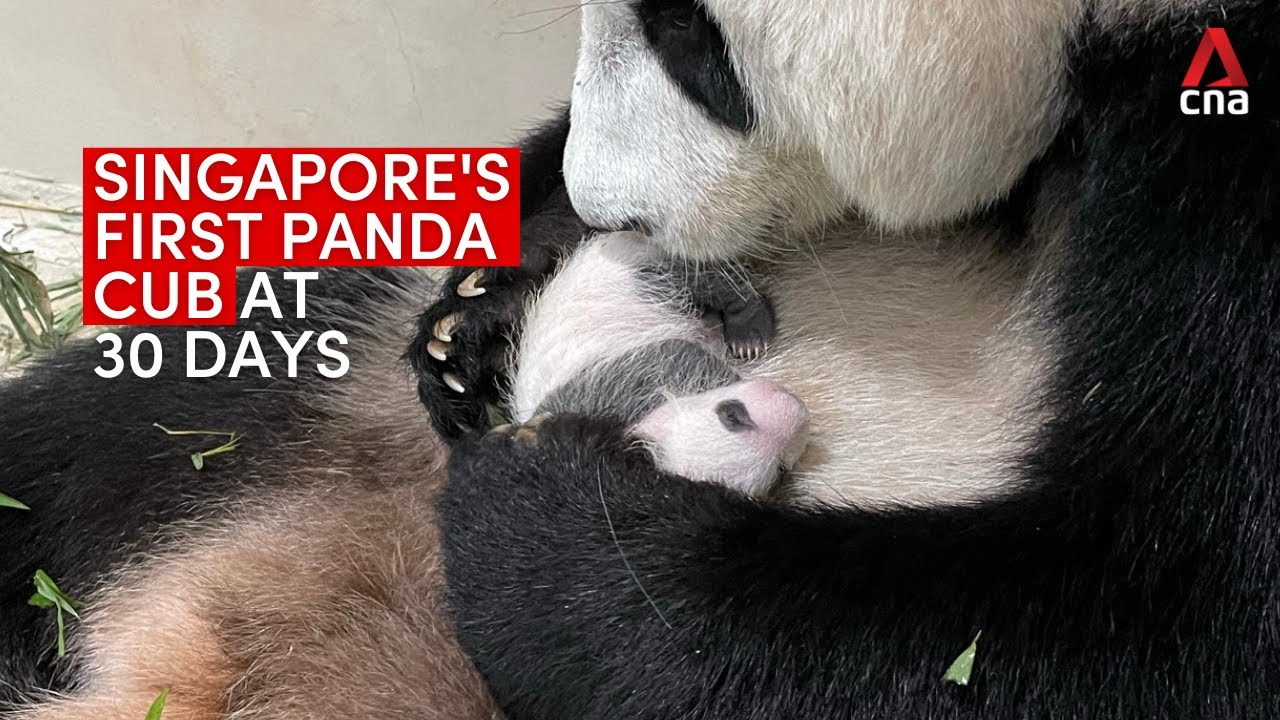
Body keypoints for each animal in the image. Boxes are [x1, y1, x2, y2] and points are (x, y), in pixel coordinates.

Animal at [0, 2, 1272, 720]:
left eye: (683, 37)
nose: (603, 206)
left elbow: (1164, 621)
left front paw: (541, 523)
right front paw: (474, 326)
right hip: (292, 404)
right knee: (94, 438)